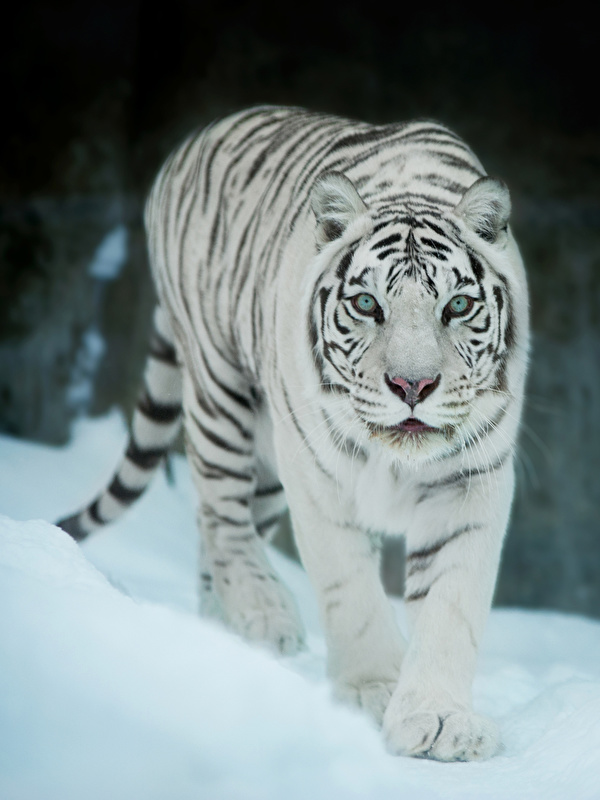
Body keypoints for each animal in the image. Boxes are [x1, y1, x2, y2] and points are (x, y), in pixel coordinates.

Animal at [58, 105, 529, 761]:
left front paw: (439, 719)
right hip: (222, 393)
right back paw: (264, 615)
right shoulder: (316, 472)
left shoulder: (470, 479)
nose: (412, 385)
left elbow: (450, 604)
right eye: (367, 304)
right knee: (220, 515)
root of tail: (198, 135)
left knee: (222, 529)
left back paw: (222, 628)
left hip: (265, 461)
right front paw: (372, 691)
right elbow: (350, 589)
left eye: (457, 307)